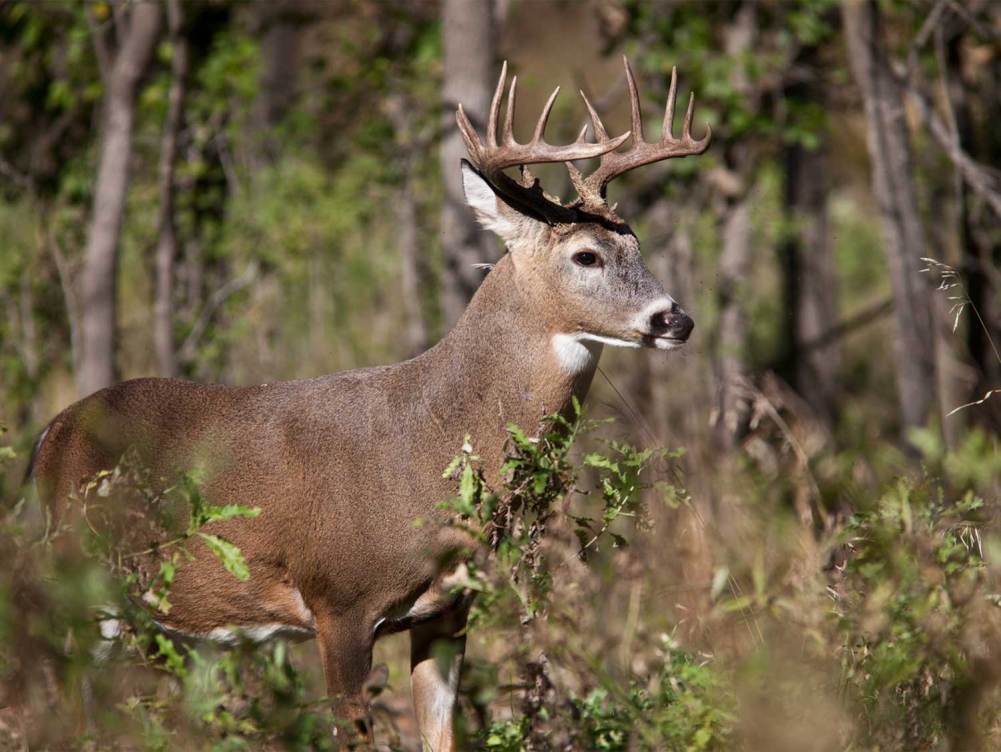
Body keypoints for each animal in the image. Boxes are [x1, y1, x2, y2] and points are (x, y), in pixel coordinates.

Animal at [28, 57, 709, 750]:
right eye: (586, 255)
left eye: (638, 247)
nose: (676, 319)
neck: (431, 439)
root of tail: (49, 435)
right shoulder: (339, 602)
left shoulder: (447, 612)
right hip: (77, 578)